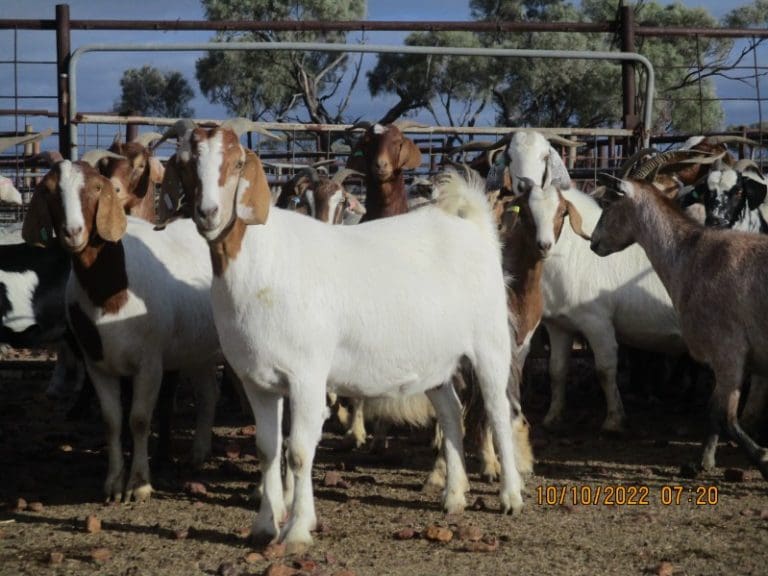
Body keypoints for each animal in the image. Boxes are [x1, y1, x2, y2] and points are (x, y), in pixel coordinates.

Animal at [22, 157, 221, 502]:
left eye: (95, 187)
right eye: (47, 190)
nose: (72, 232)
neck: (110, 292)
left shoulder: (150, 363)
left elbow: (139, 420)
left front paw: (139, 485)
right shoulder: (97, 364)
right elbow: (112, 421)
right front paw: (114, 484)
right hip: (197, 347)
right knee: (209, 393)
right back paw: (198, 453)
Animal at [189, 122, 524, 549]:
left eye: (235, 164)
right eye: (191, 161)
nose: (207, 213)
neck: (261, 260)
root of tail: (473, 224)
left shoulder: (307, 376)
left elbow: (299, 452)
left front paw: (297, 530)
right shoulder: (258, 381)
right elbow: (268, 450)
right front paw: (264, 526)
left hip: (490, 342)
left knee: (498, 410)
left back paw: (510, 496)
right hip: (436, 359)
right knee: (450, 410)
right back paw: (453, 496)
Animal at [589, 176, 768, 478]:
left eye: (609, 204)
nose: (593, 243)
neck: (694, 255)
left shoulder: (728, 350)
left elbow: (727, 417)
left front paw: (763, 459)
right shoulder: (724, 359)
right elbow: (714, 411)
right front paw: (703, 462)